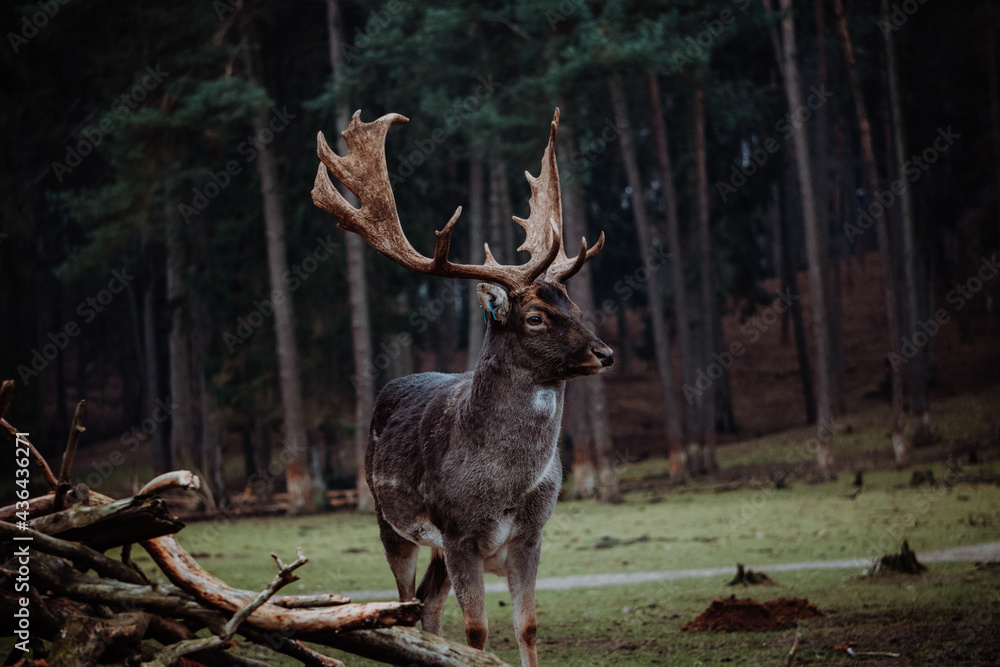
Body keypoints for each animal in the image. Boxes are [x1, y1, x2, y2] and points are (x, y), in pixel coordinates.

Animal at [311, 108, 612, 666]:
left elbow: (528, 626)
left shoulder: (531, 534)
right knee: (405, 605)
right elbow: (477, 632)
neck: (502, 488)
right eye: (535, 318)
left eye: (575, 306)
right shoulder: (456, 532)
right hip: (389, 522)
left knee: (428, 602)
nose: (604, 353)